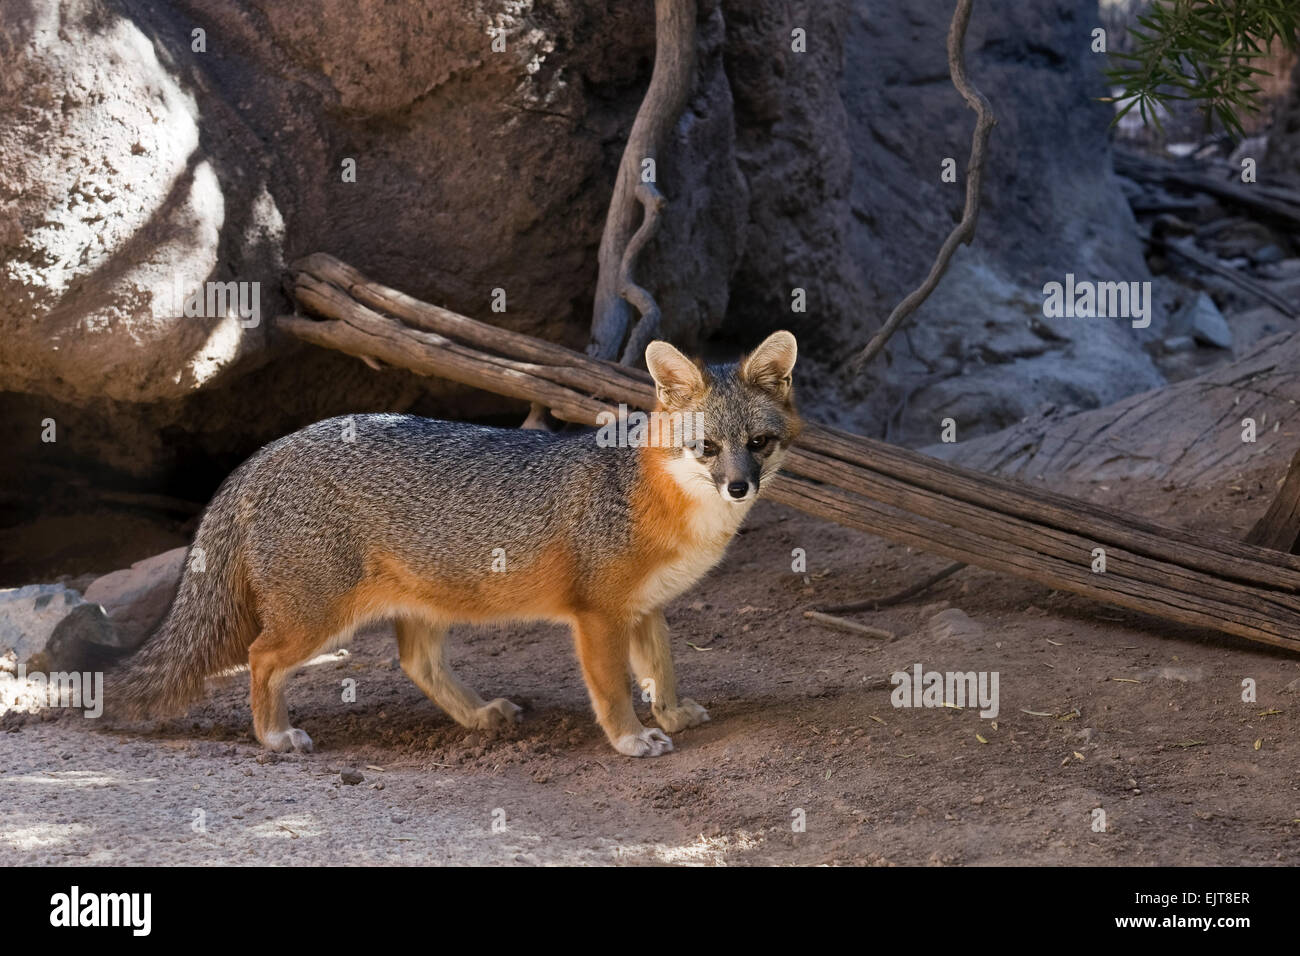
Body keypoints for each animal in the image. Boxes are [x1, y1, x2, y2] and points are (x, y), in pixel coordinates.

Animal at [108, 331, 801, 757]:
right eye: (705, 448)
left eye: (759, 443)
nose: (739, 485)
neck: (653, 493)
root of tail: (260, 455)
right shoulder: (598, 615)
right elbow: (613, 689)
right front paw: (631, 738)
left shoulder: (646, 608)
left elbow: (662, 669)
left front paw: (673, 714)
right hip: (316, 621)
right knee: (259, 658)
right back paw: (275, 737)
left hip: (418, 606)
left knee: (418, 662)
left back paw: (476, 715)